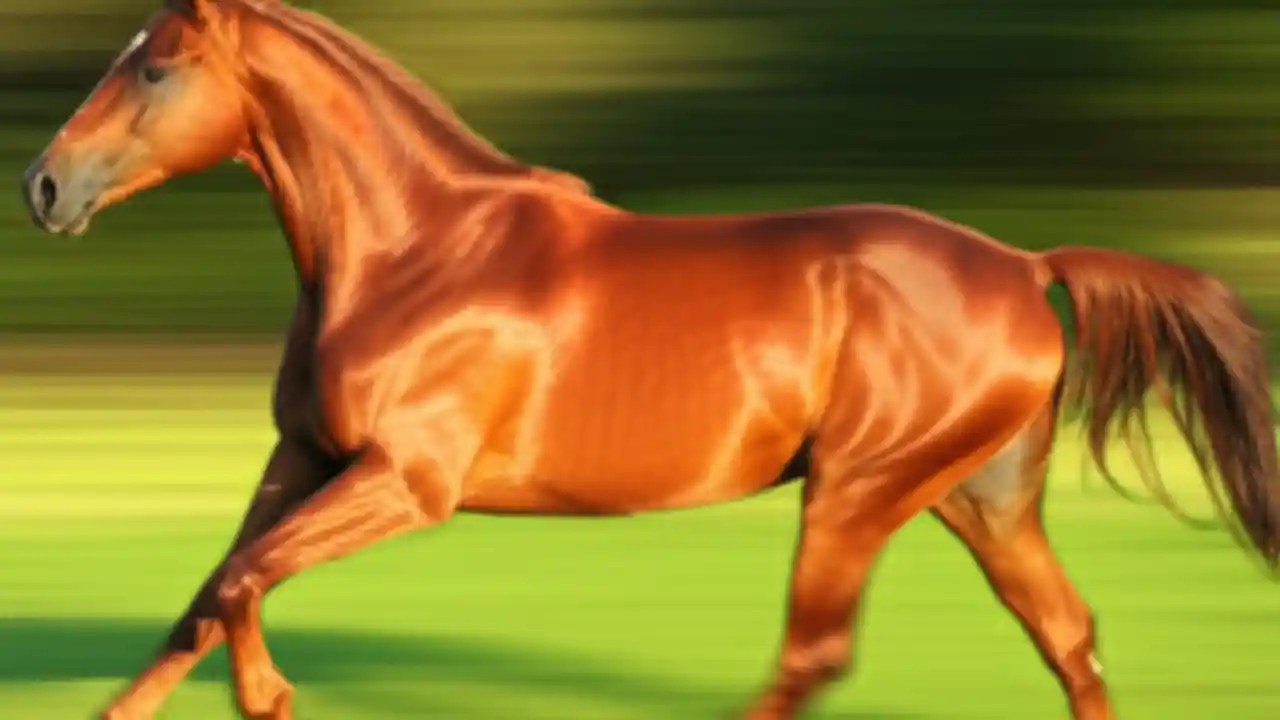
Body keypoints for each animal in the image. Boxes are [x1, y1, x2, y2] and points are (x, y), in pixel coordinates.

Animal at [20, 2, 1278, 719]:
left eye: (154, 68)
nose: (42, 186)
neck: (414, 253)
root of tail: (1023, 263)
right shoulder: (301, 458)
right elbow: (205, 597)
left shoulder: (406, 483)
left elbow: (238, 584)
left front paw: (273, 697)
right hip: (977, 497)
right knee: (1066, 640)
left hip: (858, 489)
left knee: (813, 656)